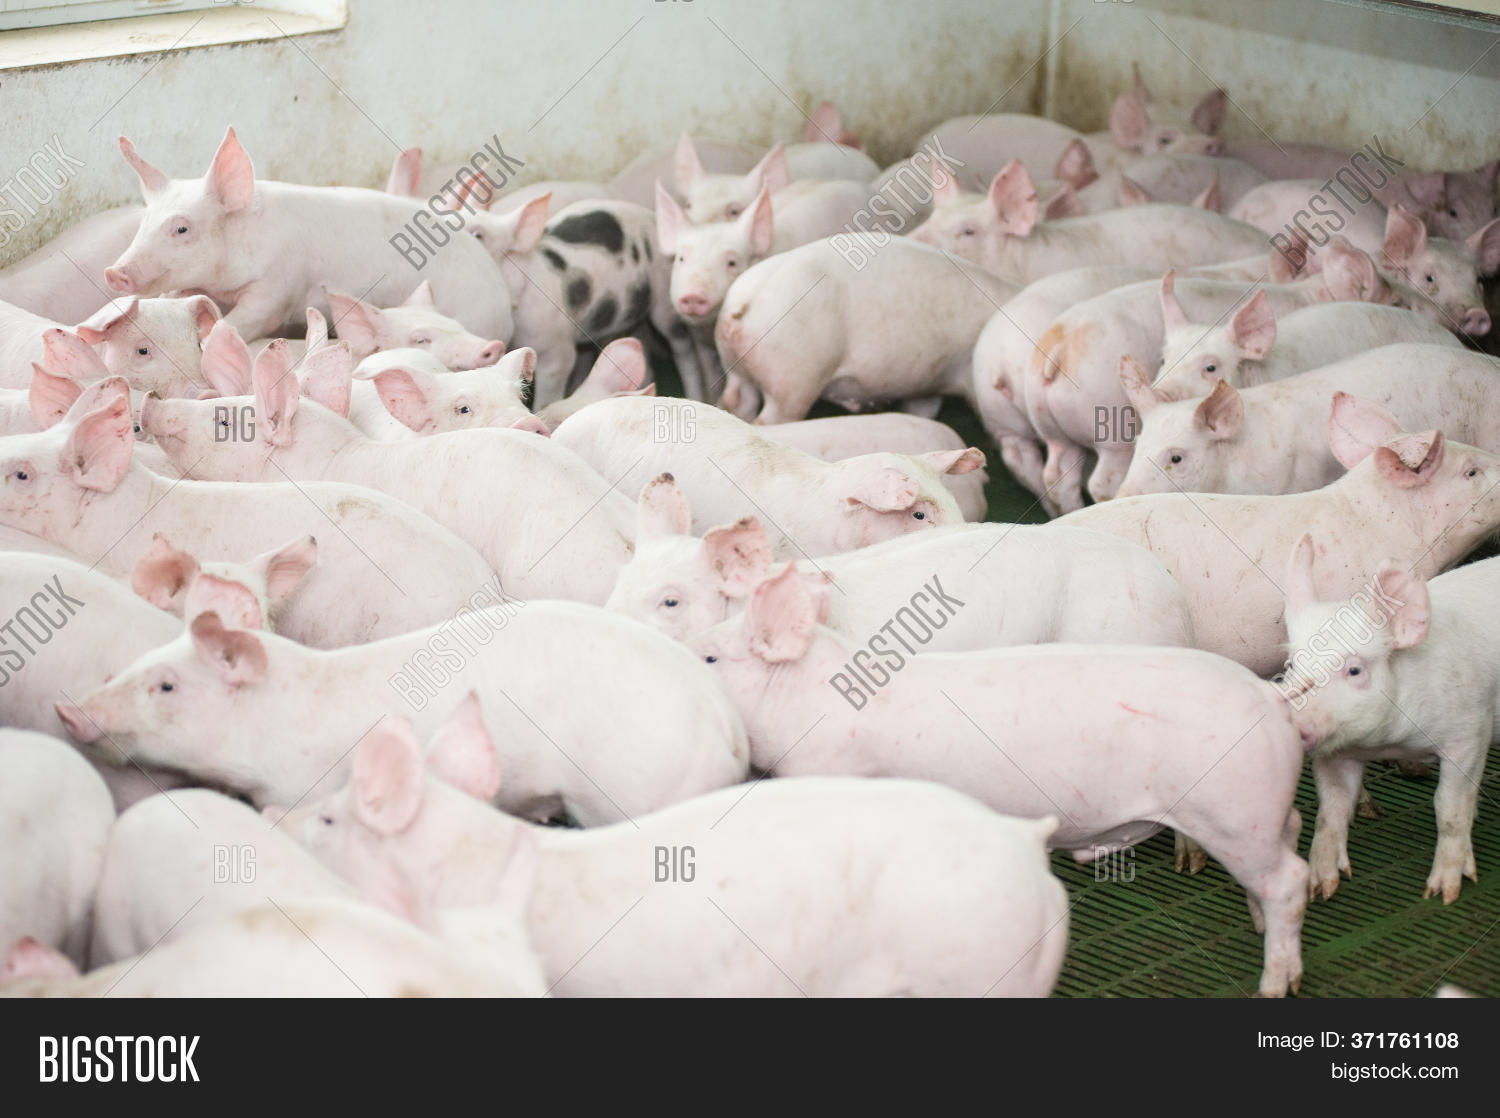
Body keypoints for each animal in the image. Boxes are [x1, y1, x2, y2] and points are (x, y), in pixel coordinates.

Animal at [690, 565, 1307, 997]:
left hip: (1233, 810)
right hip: (1260, 810)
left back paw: (1274, 985)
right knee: (1294, 829)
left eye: (710, 657)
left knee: (1288, 880)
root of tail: (1270, 697)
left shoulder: (832, 769)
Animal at [714, 236, 1019, 424]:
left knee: (735, 401)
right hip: (792, 376)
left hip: (736, 366)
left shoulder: (927, 383)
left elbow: (923, 410)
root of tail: (747, 300)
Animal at [1025, 241, 1400, 510]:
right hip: (1107, 431)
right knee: (1099, 483)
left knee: (1055, 475)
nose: (1161, 392)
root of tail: (1057, 348)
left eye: (1211, 367)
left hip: (1049, 425)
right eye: (1163, 359)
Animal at [1281, 539, 1499, 905]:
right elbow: (1331, 810)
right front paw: (1320, 889)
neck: (1391, 743)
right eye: (1293, 665)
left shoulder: (1470, 732)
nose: (1293, 720)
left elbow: (1449, 808)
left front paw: (1442, 893)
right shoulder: (1336, 753)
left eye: (1354, 670)